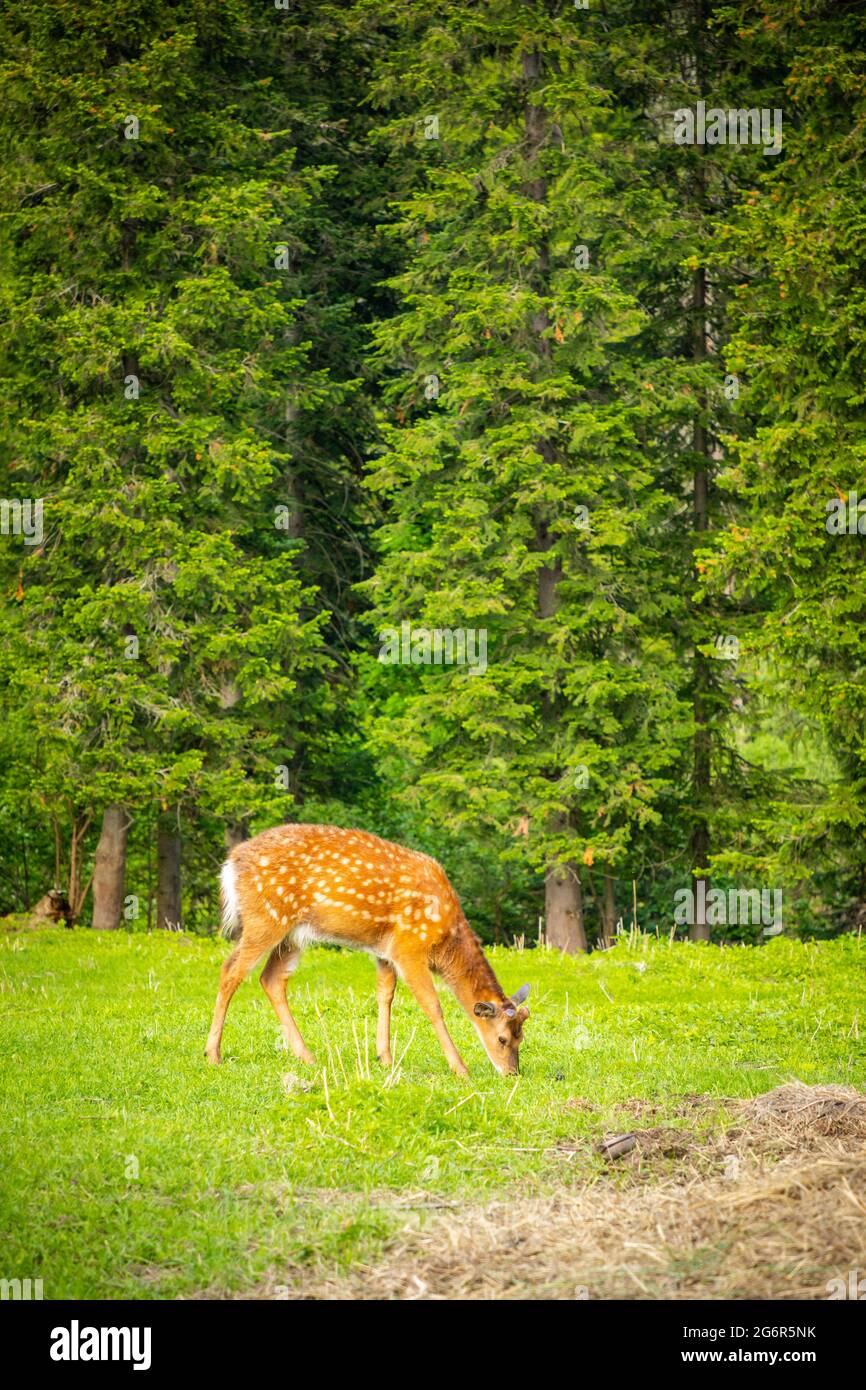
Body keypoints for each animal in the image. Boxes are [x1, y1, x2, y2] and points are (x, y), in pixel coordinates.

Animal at [205, 823, 530, 1077]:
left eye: (521, 1038)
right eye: (502, 1039)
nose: (512, 1073)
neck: (445, 939)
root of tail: (230, 863)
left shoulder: (385, 952)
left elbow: (385, 995)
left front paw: (384, 1057)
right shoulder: (409, 948)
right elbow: (432, 1005)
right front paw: (460, 1068)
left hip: (293, 934)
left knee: (271, 978)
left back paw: (306, 1055)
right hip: (265, 917)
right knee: (231, 970)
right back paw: (213, 1054)